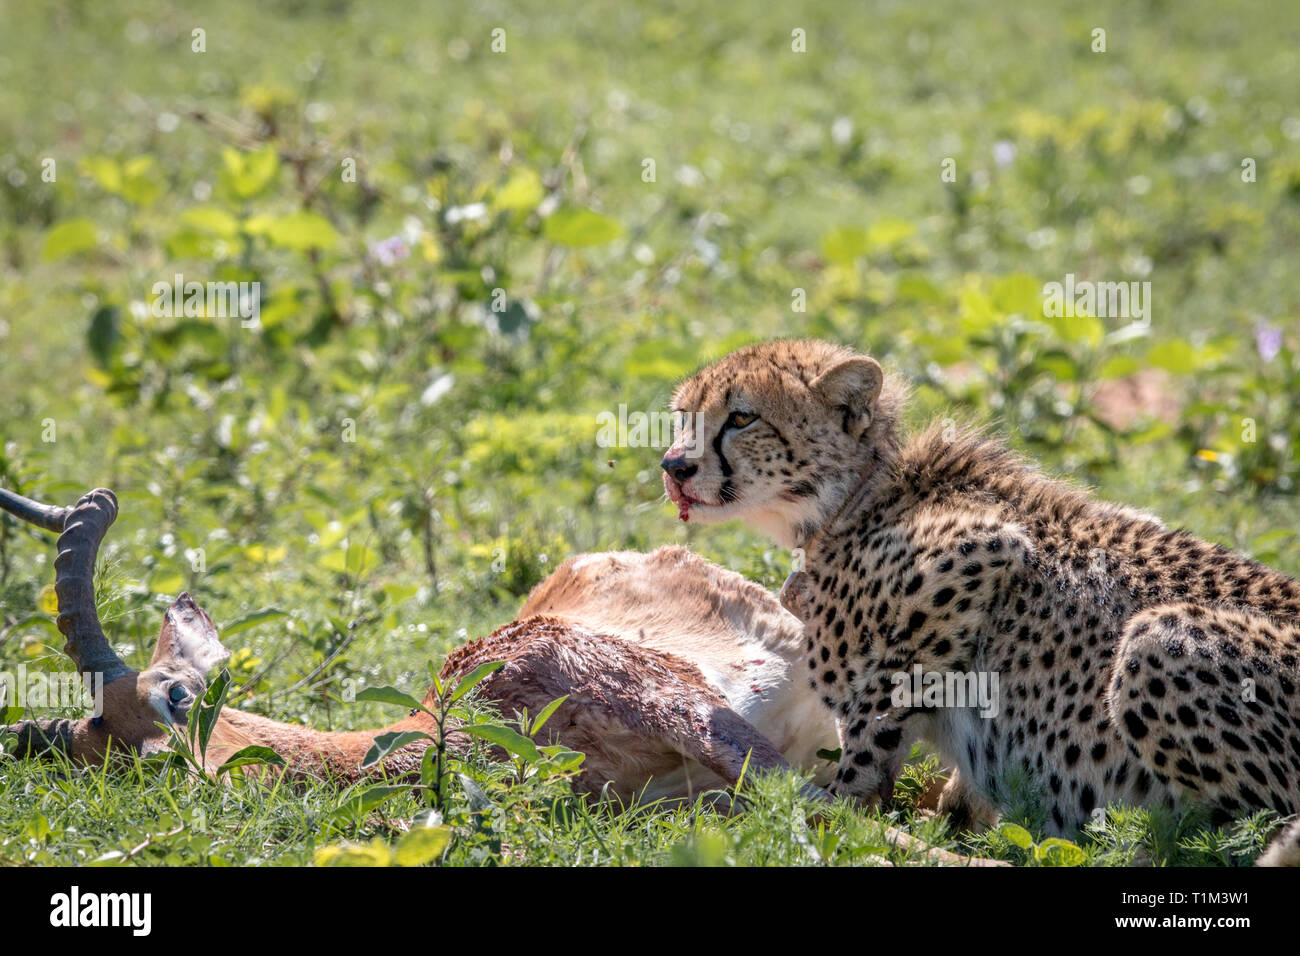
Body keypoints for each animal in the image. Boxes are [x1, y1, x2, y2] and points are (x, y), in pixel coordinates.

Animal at [660, 338, 1300, 863]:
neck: (849, 500)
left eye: (742, 417)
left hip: (1157, 639)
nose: (673, 466)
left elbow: (873, 726)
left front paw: (832, 811)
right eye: (683, 417)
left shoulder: (979, 555)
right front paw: (954, 814)